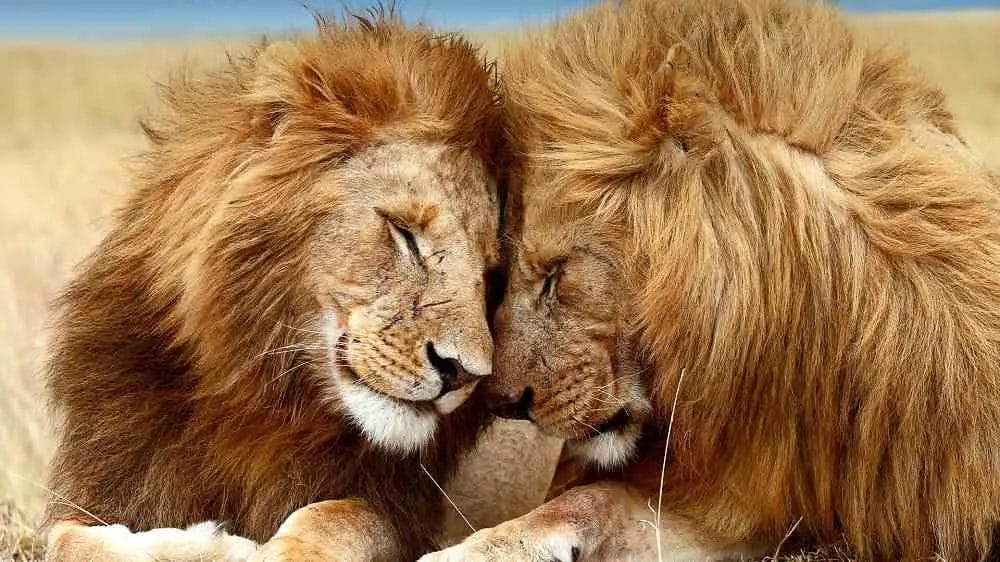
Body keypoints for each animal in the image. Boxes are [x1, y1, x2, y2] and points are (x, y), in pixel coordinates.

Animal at [44, 13, 510, 561]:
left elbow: (330, 520)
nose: (464, 374)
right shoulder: (106, 484)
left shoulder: (397, 509)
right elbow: (68, 540)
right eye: (404, 232)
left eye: (491, 274)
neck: (257, 393)